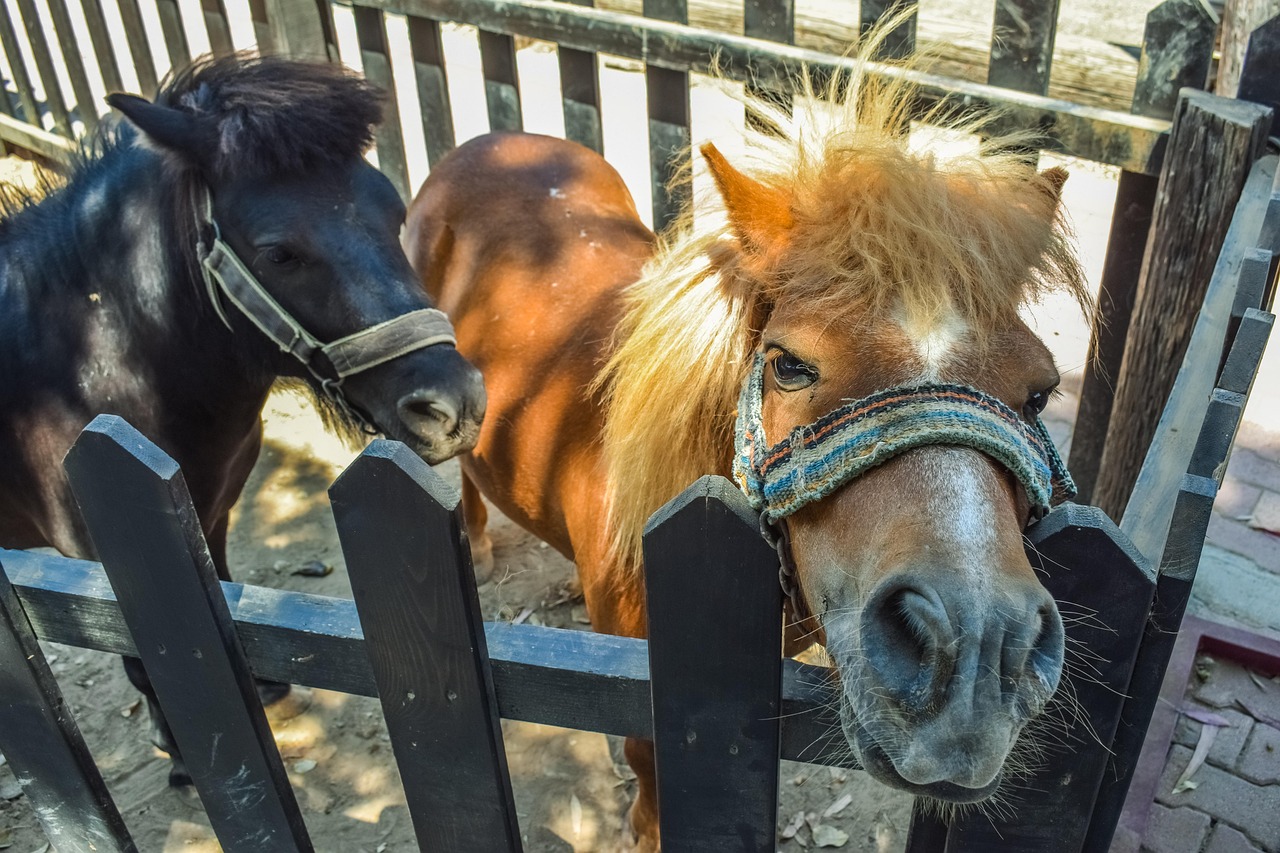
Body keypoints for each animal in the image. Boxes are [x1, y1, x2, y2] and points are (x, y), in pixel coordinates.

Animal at [0, 54, 486, 788]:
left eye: (395, 212)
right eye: (280, 252)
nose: (453, 405)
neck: (83, 358)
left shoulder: (212, 513)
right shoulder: (99, 564)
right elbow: (144, 664)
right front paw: (179, 753)